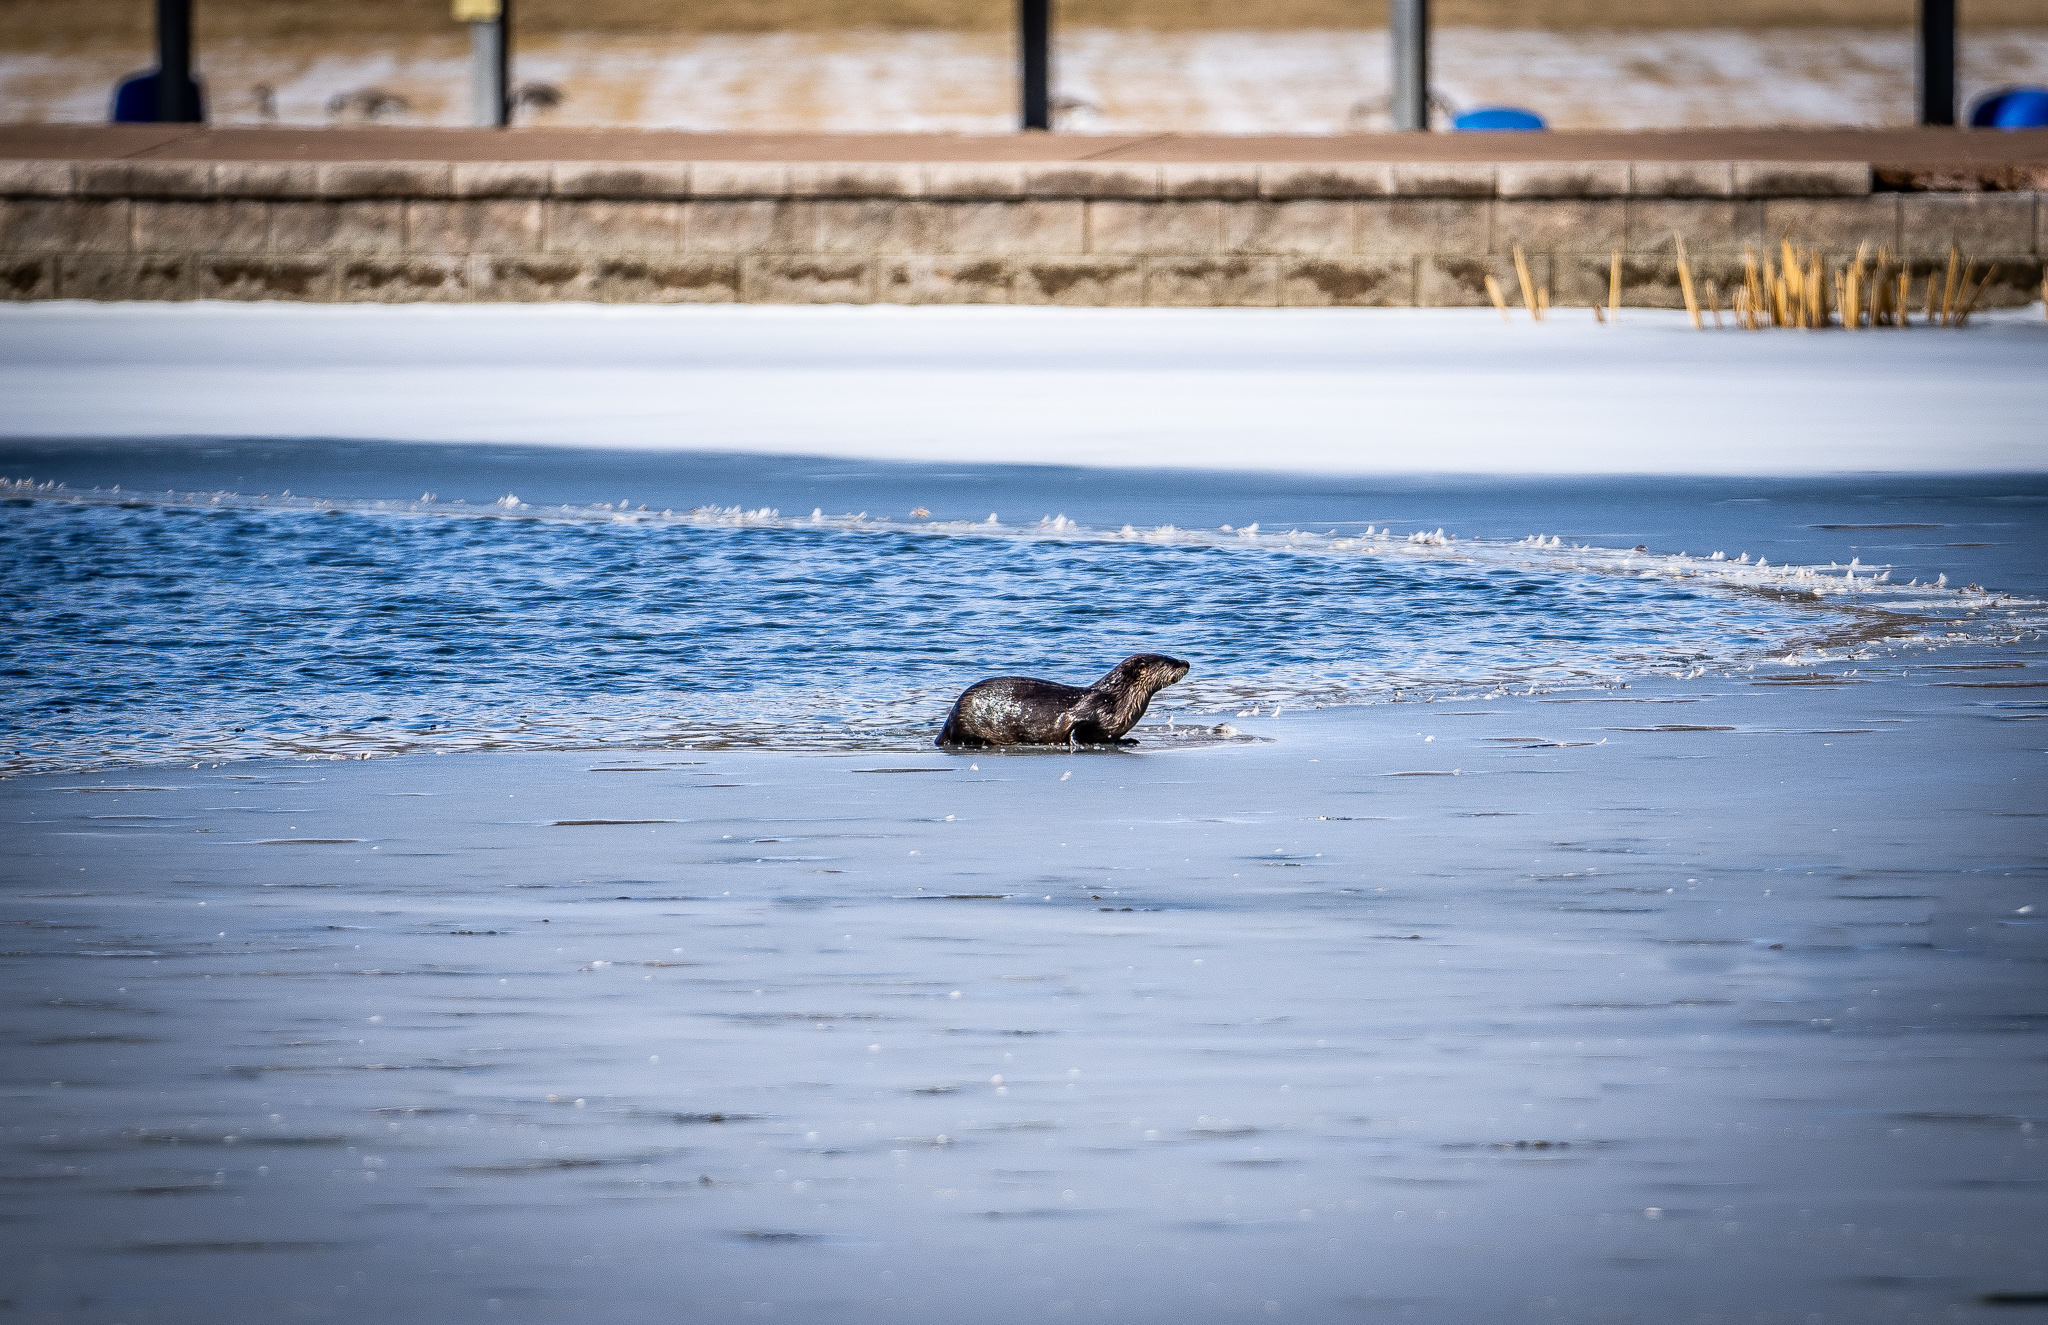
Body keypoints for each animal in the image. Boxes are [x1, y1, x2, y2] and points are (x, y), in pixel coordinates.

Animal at [936, 653, 1191, 749]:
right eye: (1168, 661)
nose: (1186, 662)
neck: (1114, 701)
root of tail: (951, 716)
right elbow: (1073, 729)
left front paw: (1128, 740)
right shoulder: (1085, 713)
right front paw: (1080, 744)